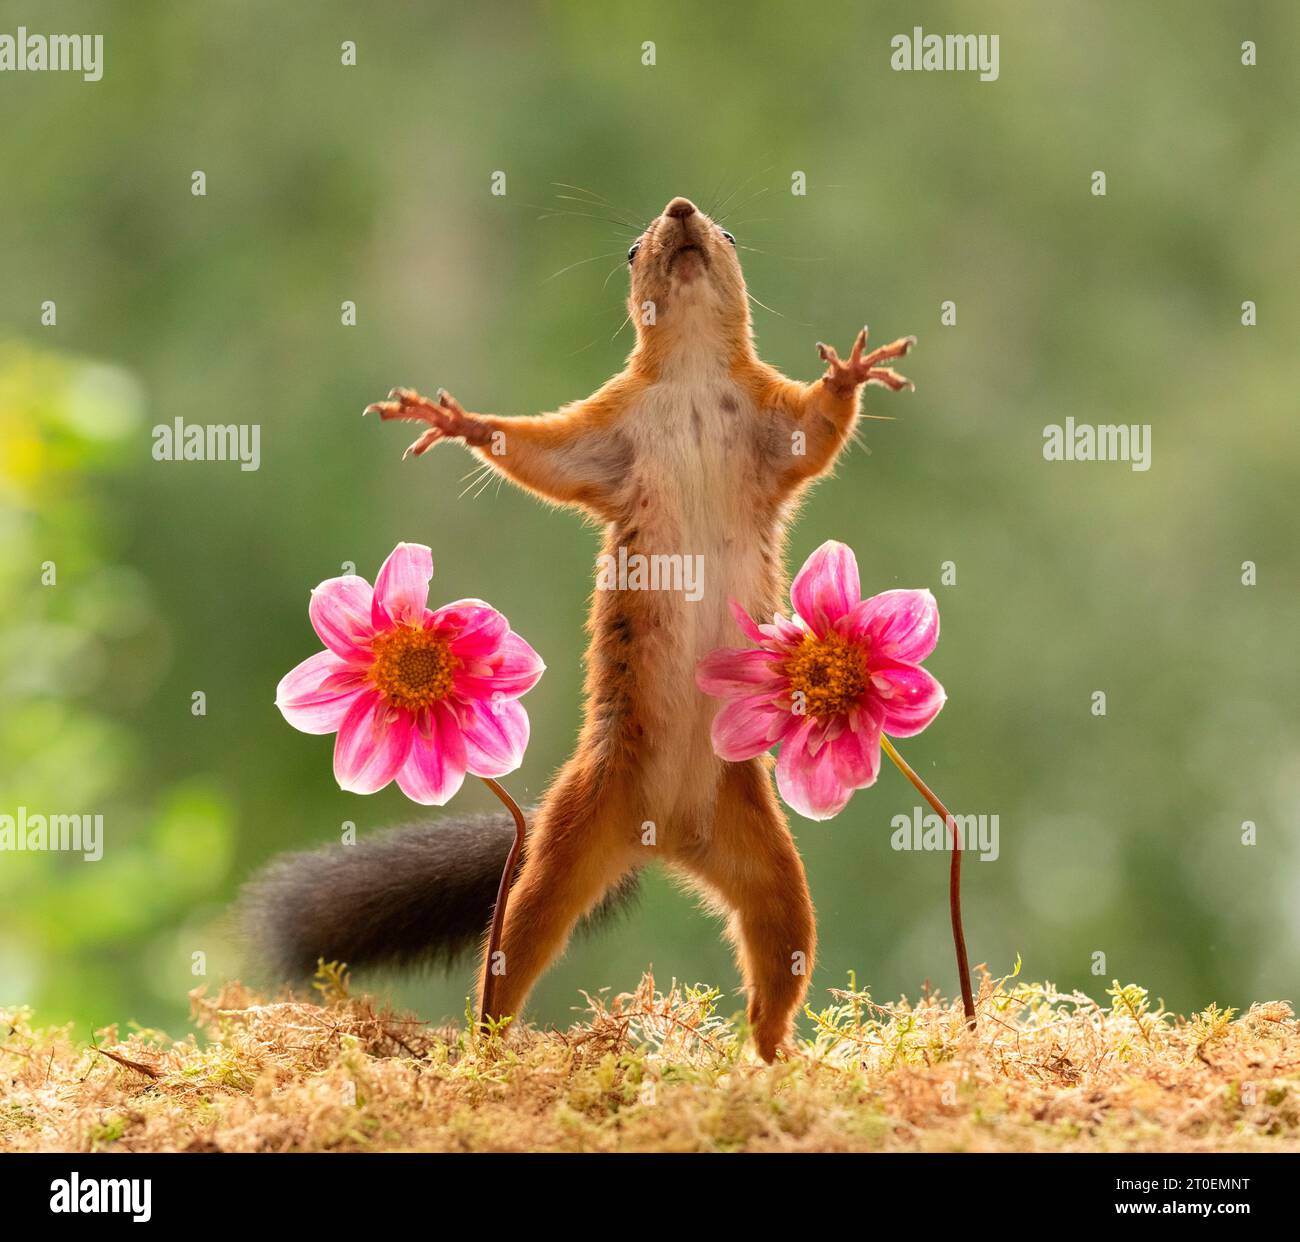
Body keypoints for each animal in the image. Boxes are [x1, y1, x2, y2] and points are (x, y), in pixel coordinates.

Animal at [242, 196, 914, 1061]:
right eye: (634, 249)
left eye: (728, 235)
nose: (681, 210)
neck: (692, 372)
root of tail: (666, 835)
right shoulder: (605, 435)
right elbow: (539, 455)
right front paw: (455, 421)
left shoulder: (773, 428)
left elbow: (820, 428)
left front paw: (850, 373)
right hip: (570, 834)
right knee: (518, 944)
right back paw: (489, 1048)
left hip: (765, 861)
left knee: (778, 946)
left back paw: (770, 1052)